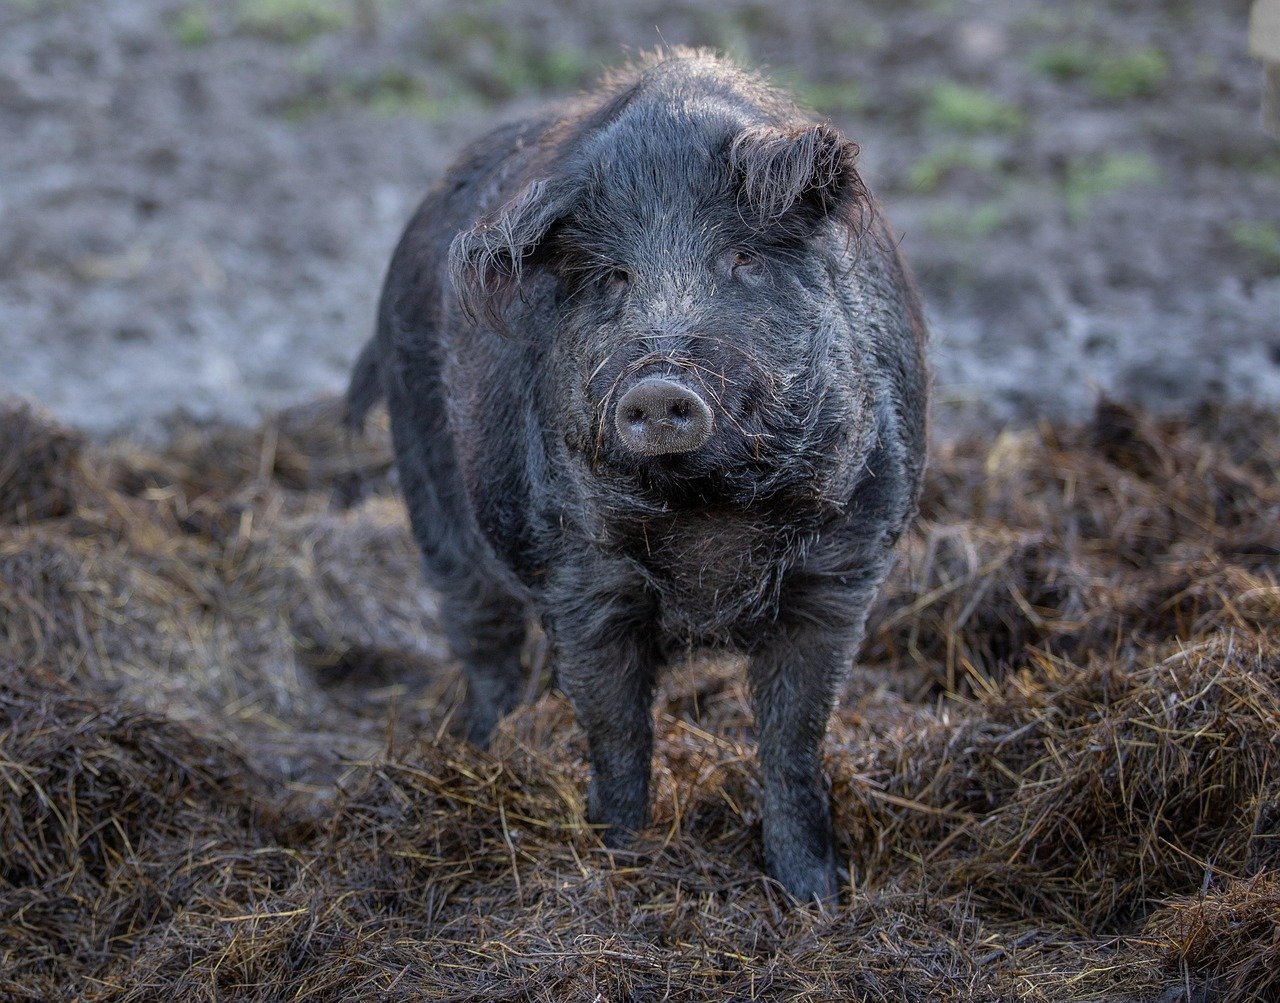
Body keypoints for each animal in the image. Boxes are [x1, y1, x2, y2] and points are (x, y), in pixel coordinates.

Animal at [345, 48, 928, 902]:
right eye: (613, 278)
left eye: (742, 259)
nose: (658, 386)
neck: (708, 515)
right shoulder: (582, 582)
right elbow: (617, 732)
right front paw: (617, 861)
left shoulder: (842, 572)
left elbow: (795, 735)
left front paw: (815, 896)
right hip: (430, 497)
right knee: (482, 641)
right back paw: (483, 749)